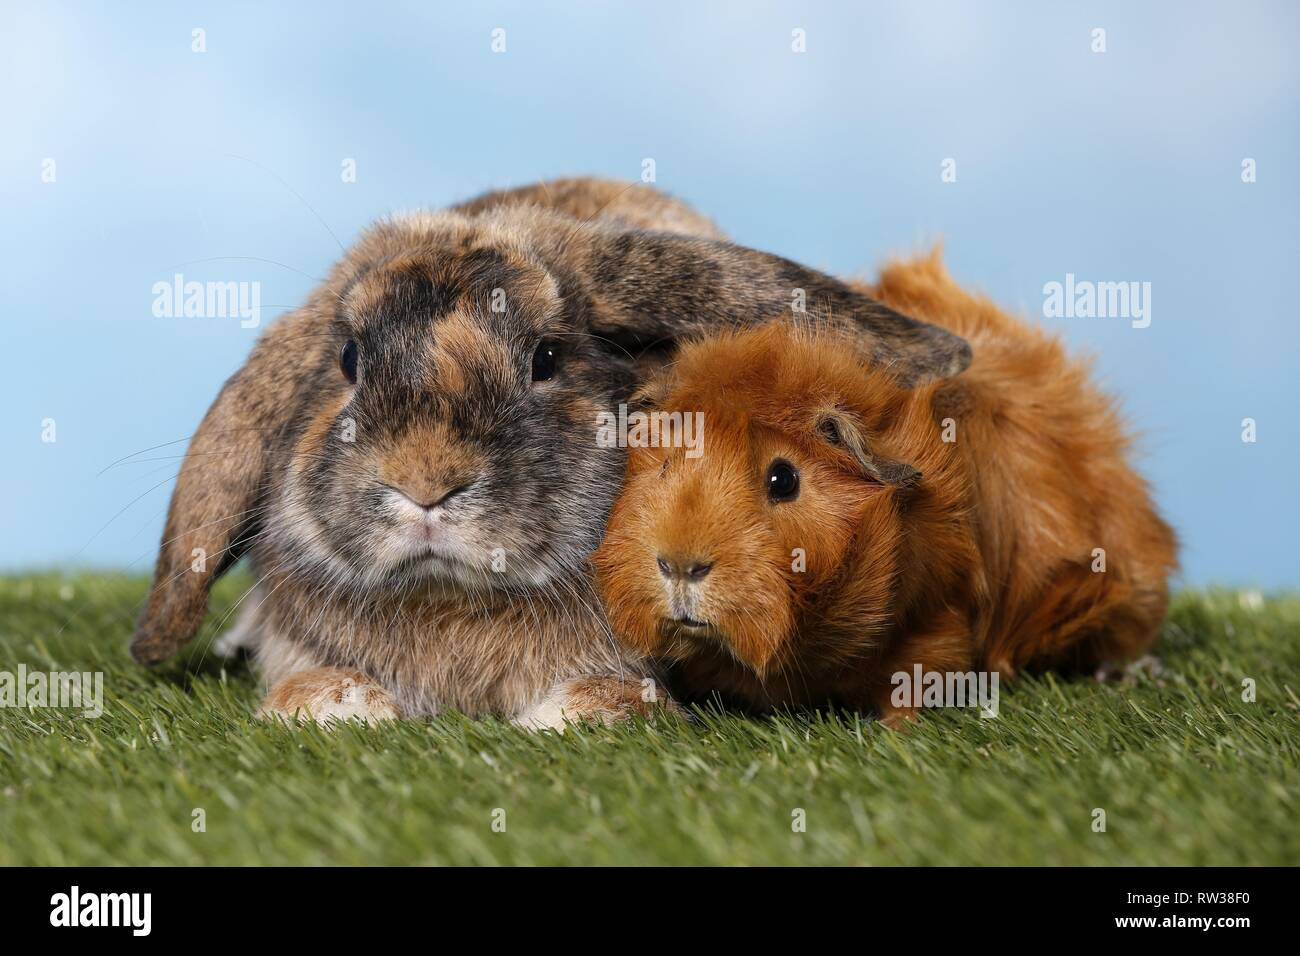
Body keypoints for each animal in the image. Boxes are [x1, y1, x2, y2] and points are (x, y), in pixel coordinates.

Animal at [129, 177, 973, 727]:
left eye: (546, 358)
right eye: (348, 358)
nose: (425, 485)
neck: (454, 602)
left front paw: (582, 713)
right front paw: (330, 703)